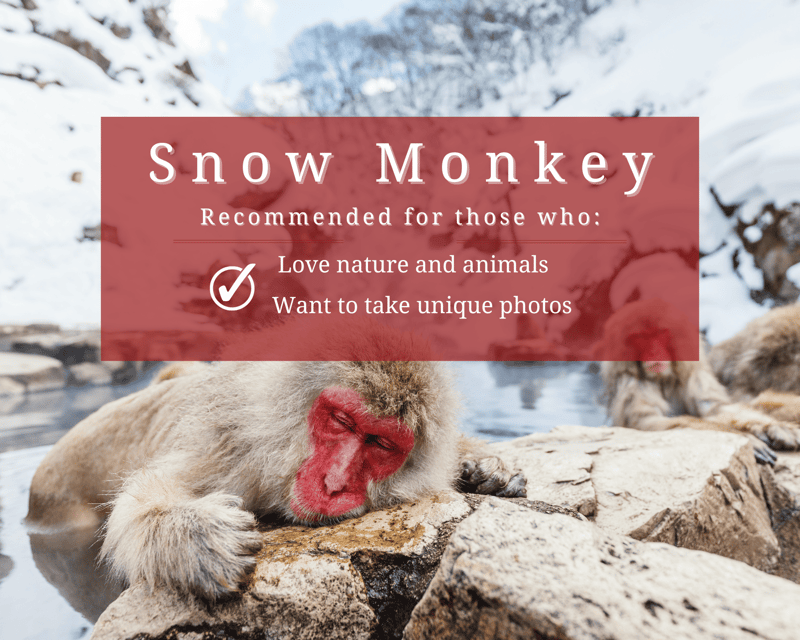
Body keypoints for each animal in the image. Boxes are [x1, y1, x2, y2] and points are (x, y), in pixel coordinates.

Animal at [25, 319, 526, 601]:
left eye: (381, 444)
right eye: (341, 421)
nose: (335, 481)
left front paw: (487, 467)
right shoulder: (228, 452)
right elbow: (141, 501)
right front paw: (194, 537)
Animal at [595, 299, 800, 462]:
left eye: (660, 333)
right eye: (641, 337)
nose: (654, 353)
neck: (663, 379)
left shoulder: (694, 374)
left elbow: (715, 408)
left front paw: (774, 427)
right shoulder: (631, 381)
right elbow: (647, 421)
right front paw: (746, 438)